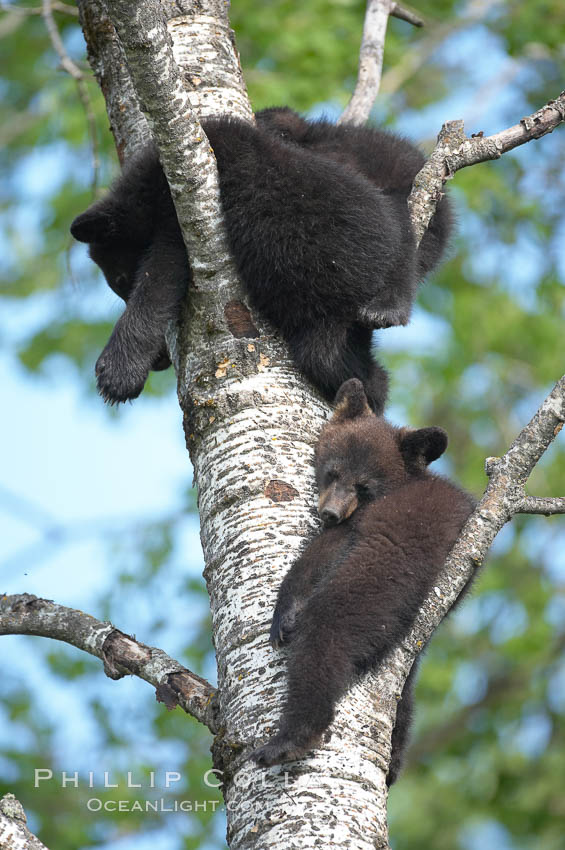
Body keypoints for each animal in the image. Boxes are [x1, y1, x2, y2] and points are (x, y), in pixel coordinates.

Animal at [251, 378, 475, 784]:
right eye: (332, 472)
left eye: (364, 486)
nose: (329, 513)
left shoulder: (360, 522)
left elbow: (316, 557)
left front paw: (283, 615)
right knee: (406, 697)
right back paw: (394, 760)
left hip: (377, 584)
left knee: (327, 633)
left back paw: (289, 739)